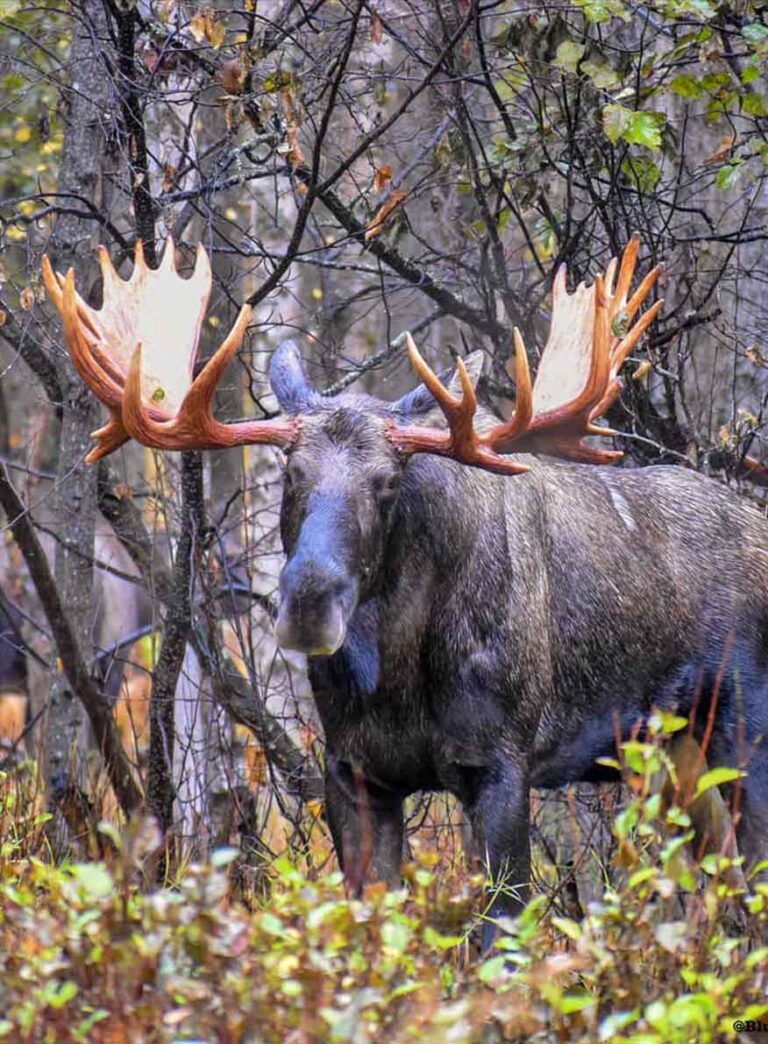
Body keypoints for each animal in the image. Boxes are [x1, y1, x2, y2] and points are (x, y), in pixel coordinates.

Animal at [43, 236, 768, 947]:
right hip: (675, 755)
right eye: (292, 472)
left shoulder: (501, 763)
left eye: (388, 481)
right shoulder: (354, 771)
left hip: (743, 734)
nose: (309, 603)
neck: (397, 680)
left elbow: (502, 936)